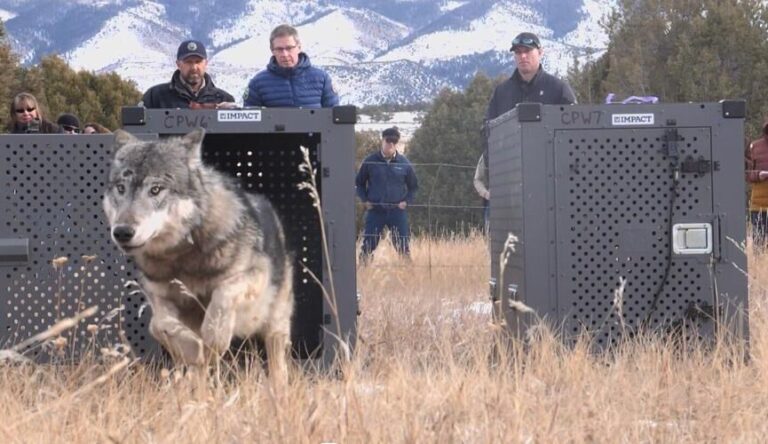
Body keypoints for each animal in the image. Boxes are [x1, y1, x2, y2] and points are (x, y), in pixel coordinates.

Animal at [103, 128, 294, 377]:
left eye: (156, 190)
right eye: (121, 189)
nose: (122, 232)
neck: (182, 257)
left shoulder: (253, 277)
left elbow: (223, 295)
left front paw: (214, 338)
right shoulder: (159, 297)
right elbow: (158, 325)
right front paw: (195, 348)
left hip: (275, 326)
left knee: (278, 364)